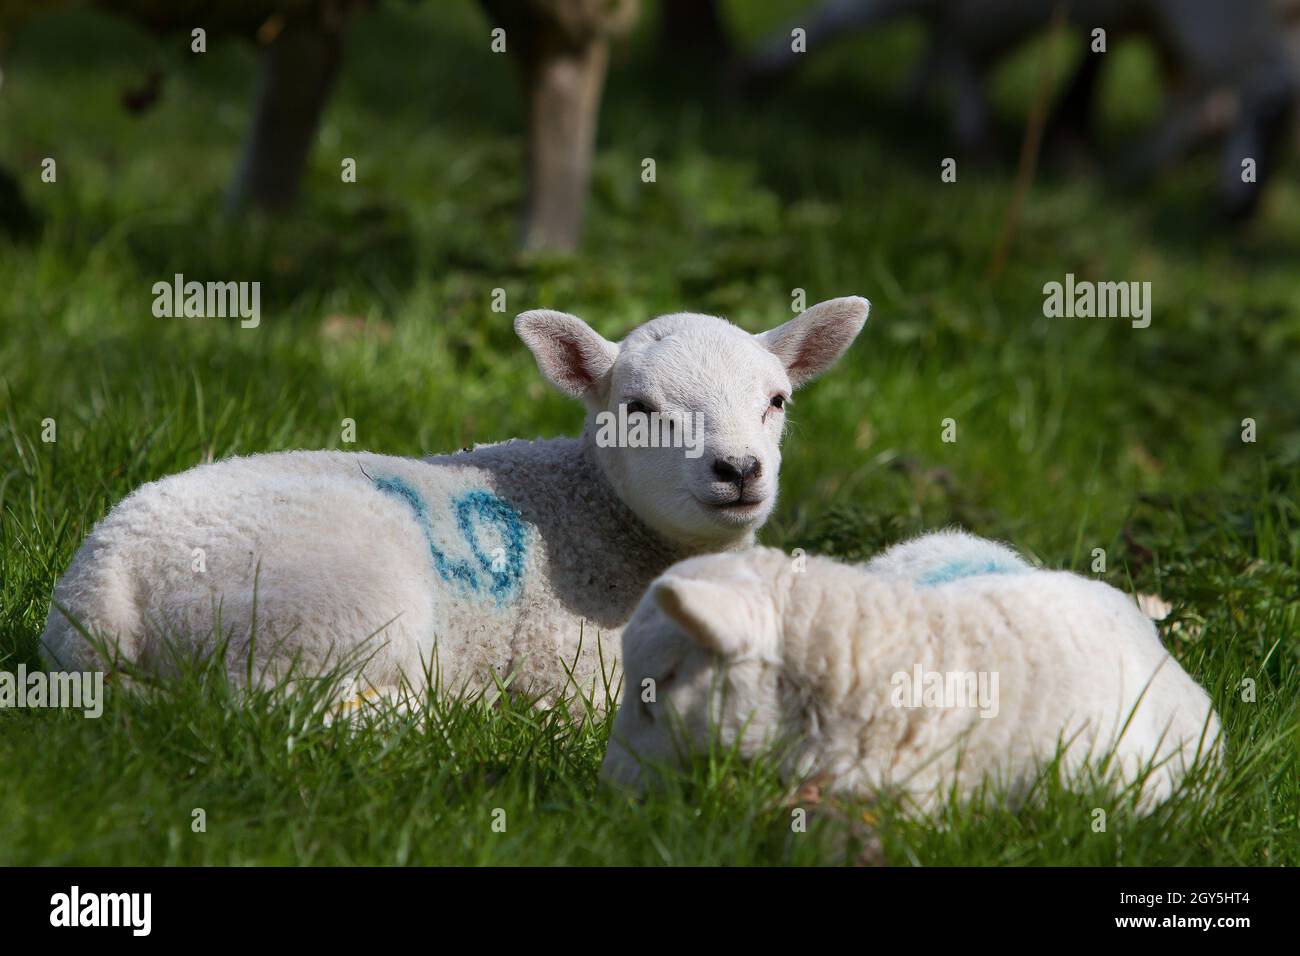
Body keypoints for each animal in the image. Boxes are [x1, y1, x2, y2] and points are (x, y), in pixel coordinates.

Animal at [40, 297, 871, 706]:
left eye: (776, 401)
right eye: (637, 408)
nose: (740, 470)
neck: (593, 509)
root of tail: (105, 588)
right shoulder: (571, 665)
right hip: (325, 609)